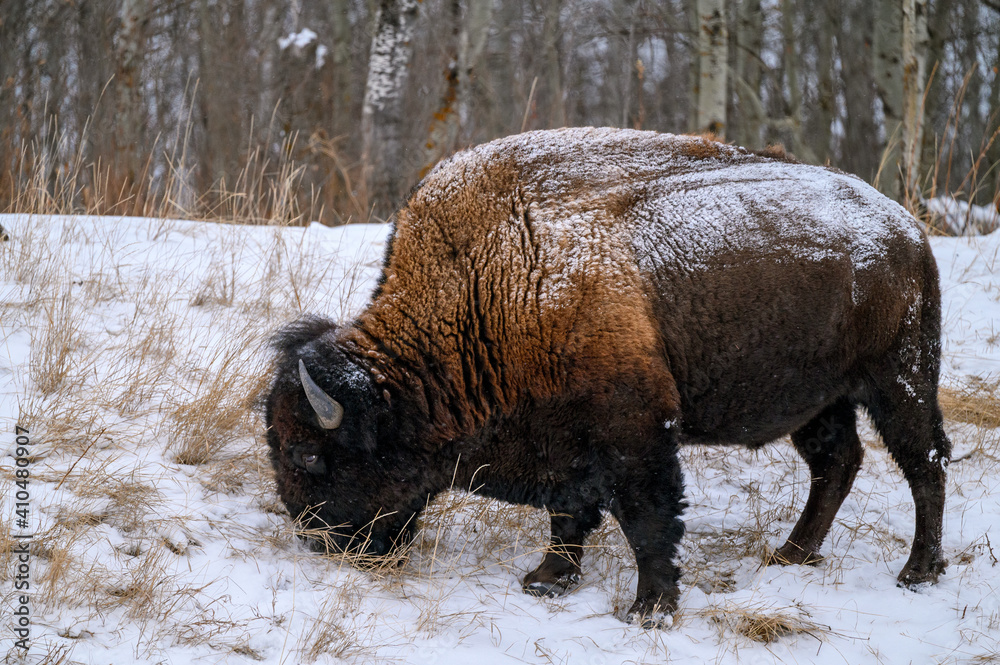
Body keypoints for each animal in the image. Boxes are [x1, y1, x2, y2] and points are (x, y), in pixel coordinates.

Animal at [265, 127, 950, 628]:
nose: (317, 542)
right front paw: (546, 580)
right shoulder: (566, 440)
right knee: (837, 462)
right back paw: (791, 555)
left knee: (925, 461)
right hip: (817, 398)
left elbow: (647, 522)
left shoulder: (637, 435)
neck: (490, 281)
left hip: (899, 380)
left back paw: (917, 573)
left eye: (308, 454)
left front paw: (649, 611)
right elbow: (571, 515)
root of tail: (906, 229)